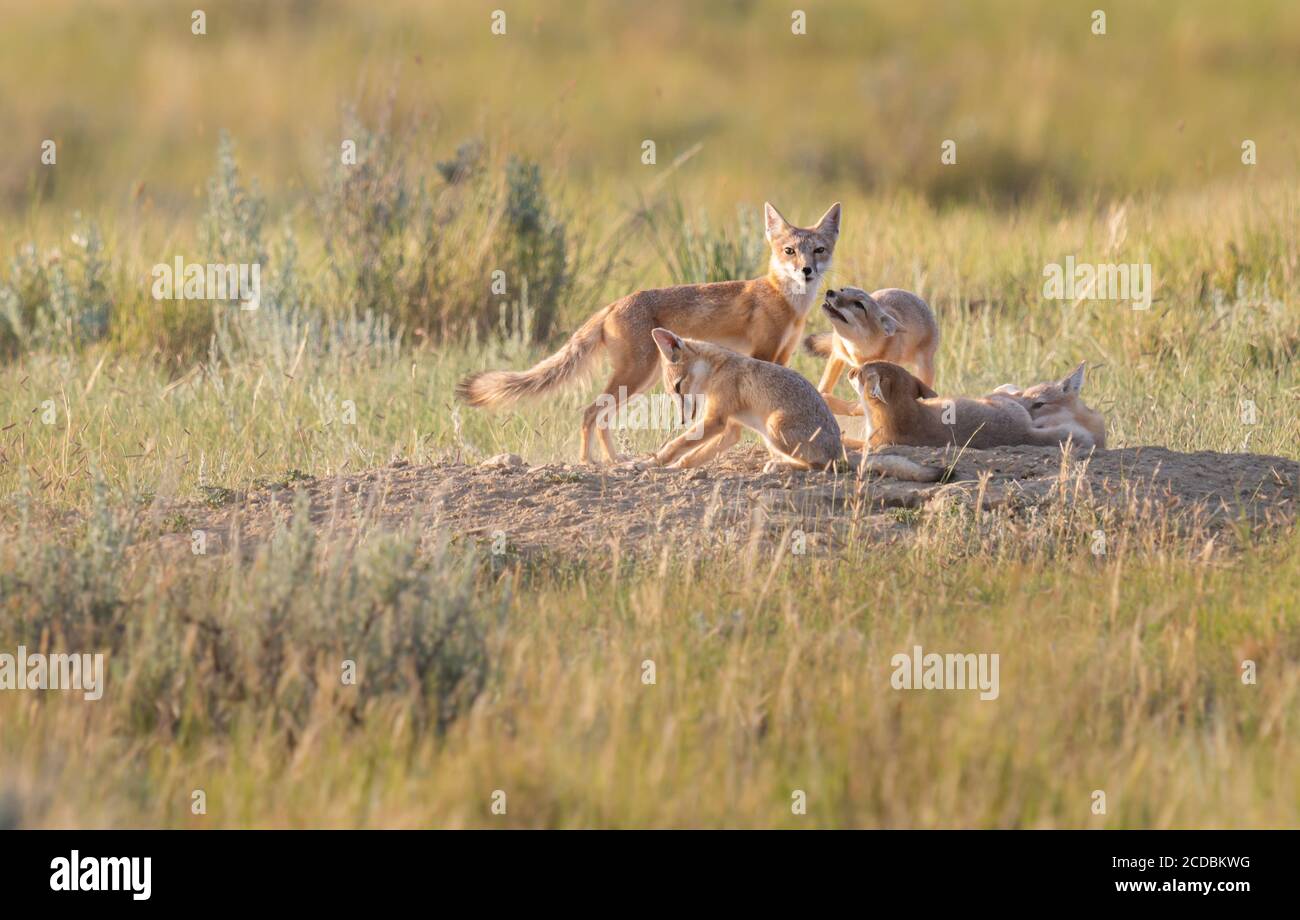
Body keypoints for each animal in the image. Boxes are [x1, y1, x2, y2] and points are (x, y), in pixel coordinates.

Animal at [457, 201, 842, 463]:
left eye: (818, 250)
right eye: (789, 251)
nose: (807, 270)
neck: (784, 300)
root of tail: (614, 303)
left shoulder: (782, 356)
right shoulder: (761, 355)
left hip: (642, 378)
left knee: (600, 415)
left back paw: (613, 460)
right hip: (637, 375)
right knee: (590, 412)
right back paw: (591, 461)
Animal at [647, 329, 943, 481]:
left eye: (678, 387)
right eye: (672, 392)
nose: (682, 419)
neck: (719, 367)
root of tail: (839, 451)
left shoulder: (715, 421)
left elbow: (678, 445)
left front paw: (654, 462)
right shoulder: (729, 429)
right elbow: (691, 455)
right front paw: (674, 467)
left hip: (773, 426)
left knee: (818, 467)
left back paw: (780, 466)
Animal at [804, 286, 939, 416]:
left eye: (859, 305)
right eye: (842, 290)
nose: (830, 292)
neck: (858, 353)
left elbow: (857, 406)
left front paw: (830, 402)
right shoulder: (837, 353)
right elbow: (824, 384)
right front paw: (821, 396)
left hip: (925, 368)